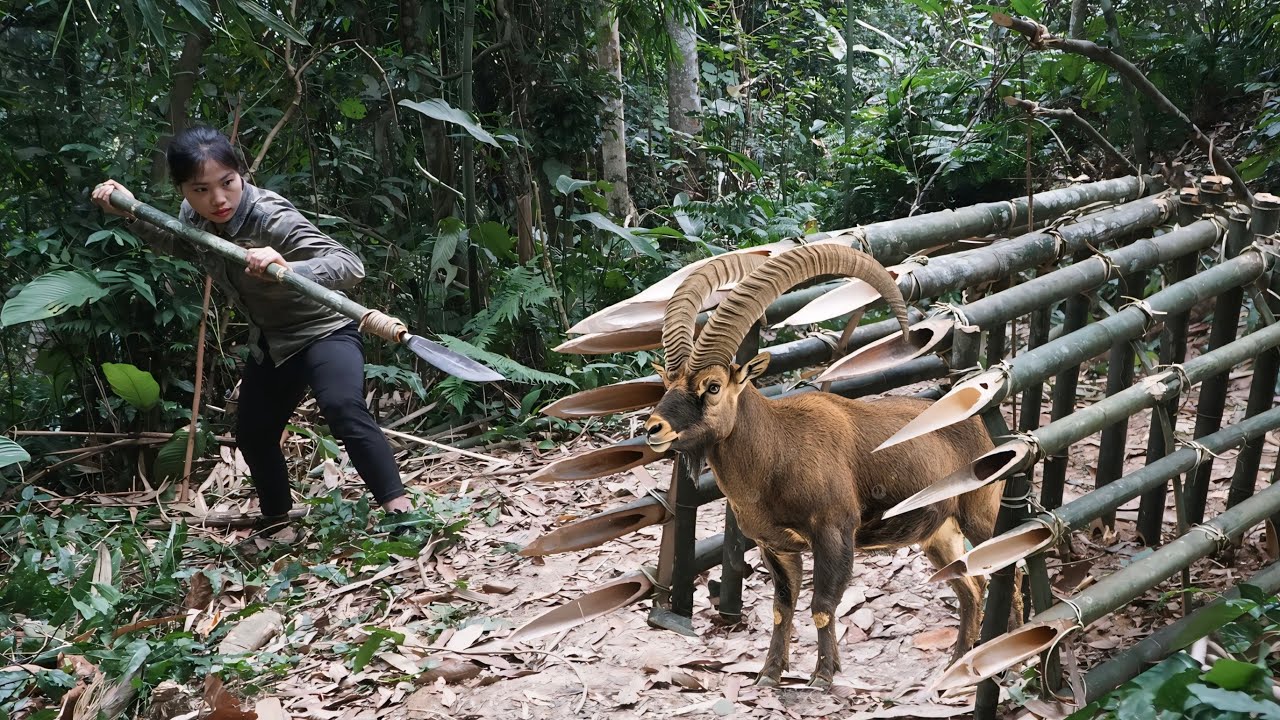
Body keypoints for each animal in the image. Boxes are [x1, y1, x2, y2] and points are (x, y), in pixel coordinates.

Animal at [642, 244, 1001, 688]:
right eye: (667, 382)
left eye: (713, 386)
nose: (654, 428)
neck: (780, 452)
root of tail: (978, 426)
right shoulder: (777, 547)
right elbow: (783, 608)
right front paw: (769, 674)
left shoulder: (834, 534)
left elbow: (822, 606)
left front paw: (824, 676)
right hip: (939, 536)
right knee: (971, 584)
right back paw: (959, 659)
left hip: (979, 517)